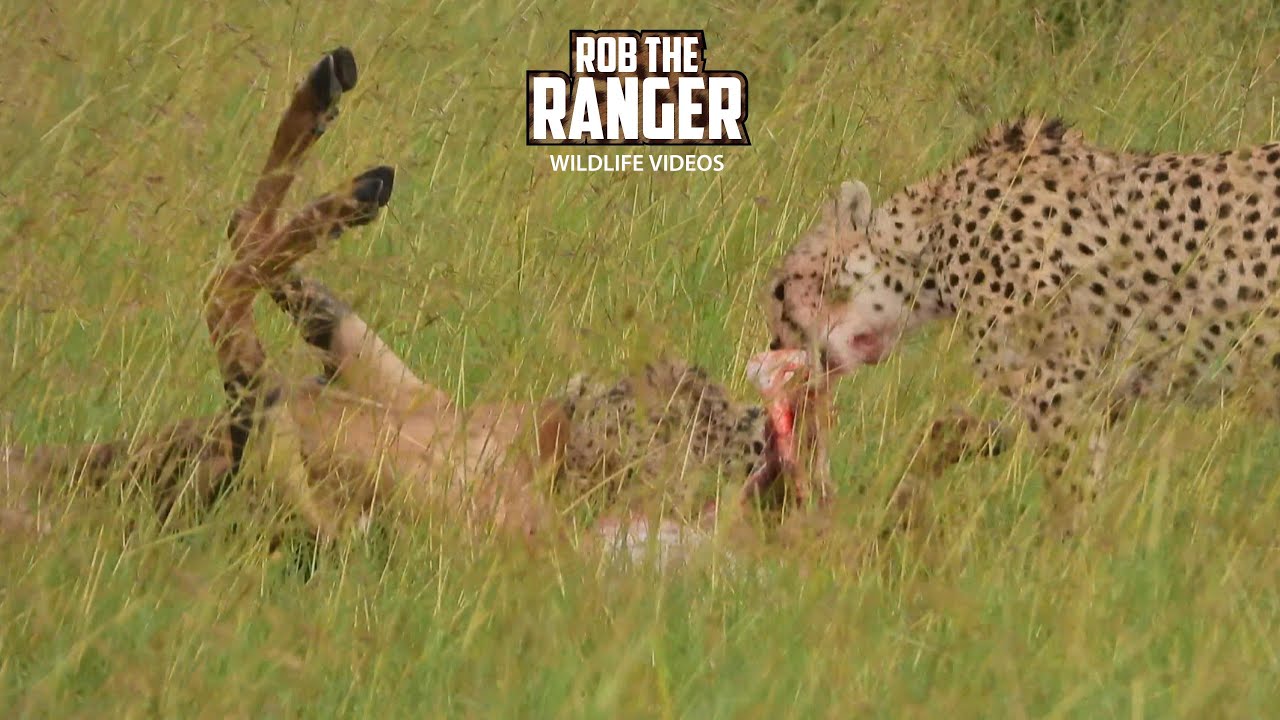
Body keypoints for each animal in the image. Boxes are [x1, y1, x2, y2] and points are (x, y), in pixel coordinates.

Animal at [766, 114, 1280, 537]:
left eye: (780, 290)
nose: (775, 346)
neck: (933, 237)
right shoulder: (1098, 393)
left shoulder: (1058, 388)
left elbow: (1072, 497)